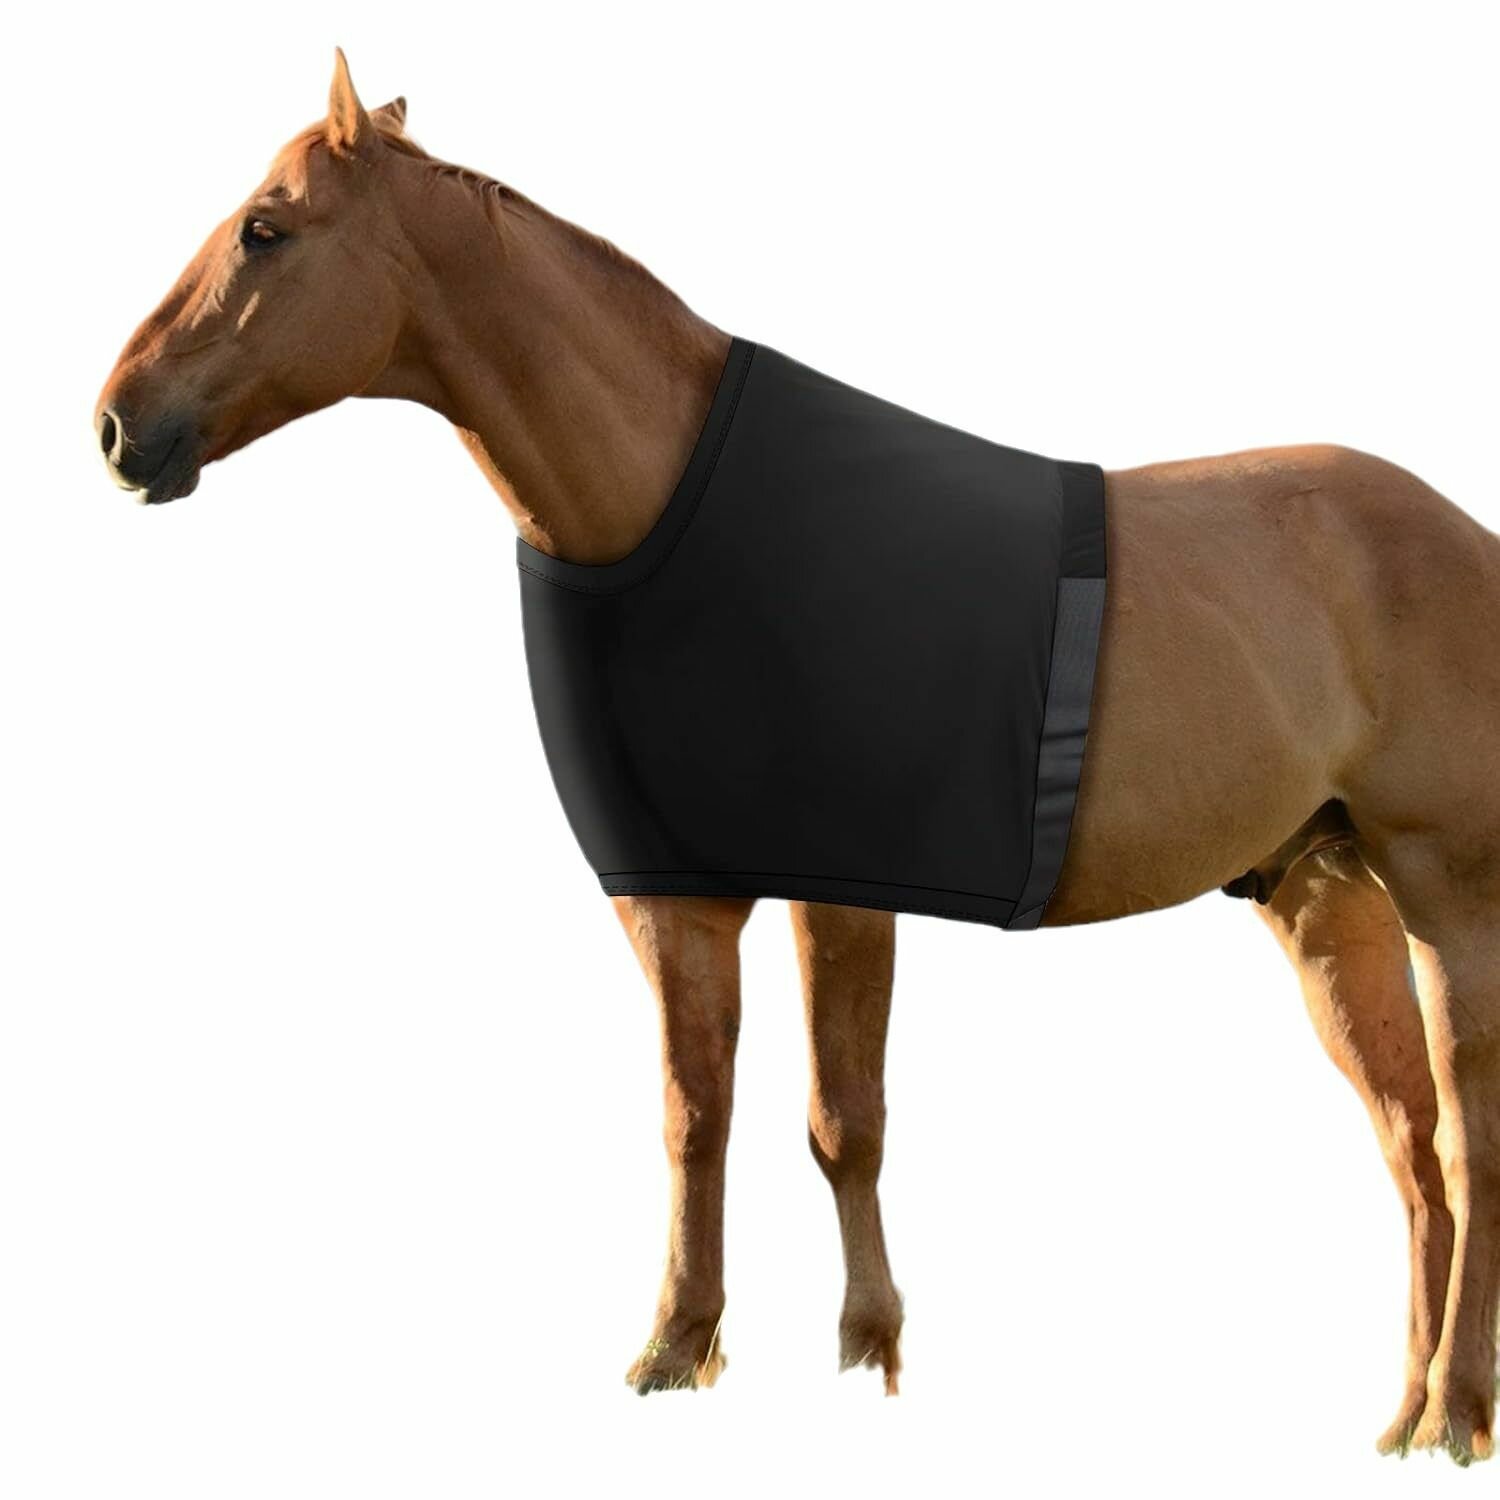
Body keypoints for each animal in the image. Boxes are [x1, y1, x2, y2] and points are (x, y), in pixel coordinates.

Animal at [94, 49, 1499, 1464]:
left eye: (265, 229)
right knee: (1412, 1153)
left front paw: (865, 1355)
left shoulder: (845, 892)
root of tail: (1463, 535)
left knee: (1467, 1141)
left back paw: (1452, 1412)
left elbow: (844, 1123)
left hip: (1448, 899)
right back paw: (1404, 1417)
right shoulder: (678, 899)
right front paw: (677, 1350)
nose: (116, 427)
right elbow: (694, 1114)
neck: (668, 505)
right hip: (1326, 901)